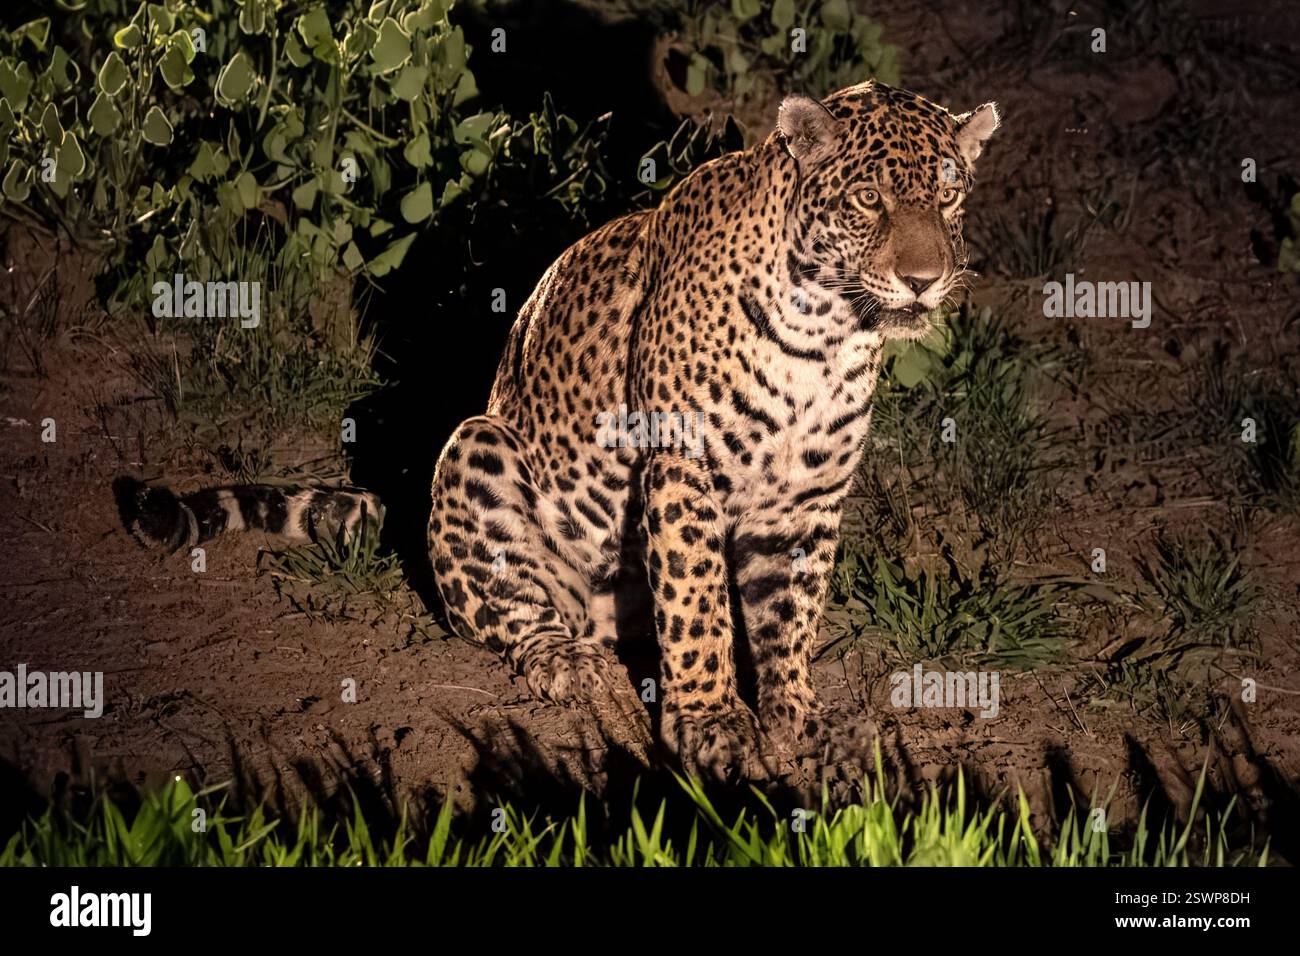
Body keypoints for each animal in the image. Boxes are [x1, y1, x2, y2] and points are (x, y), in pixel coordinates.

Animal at [117, 80, 999, 783]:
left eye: (950, 193)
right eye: (869, 199)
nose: (924, 280)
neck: (829, 334)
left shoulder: (806, 499)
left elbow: (791, 618)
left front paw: (796, 720)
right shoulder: (682, 468)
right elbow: (700, 607)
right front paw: (712, 724)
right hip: (477, 447)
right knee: (503, 617)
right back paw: (579, 667)